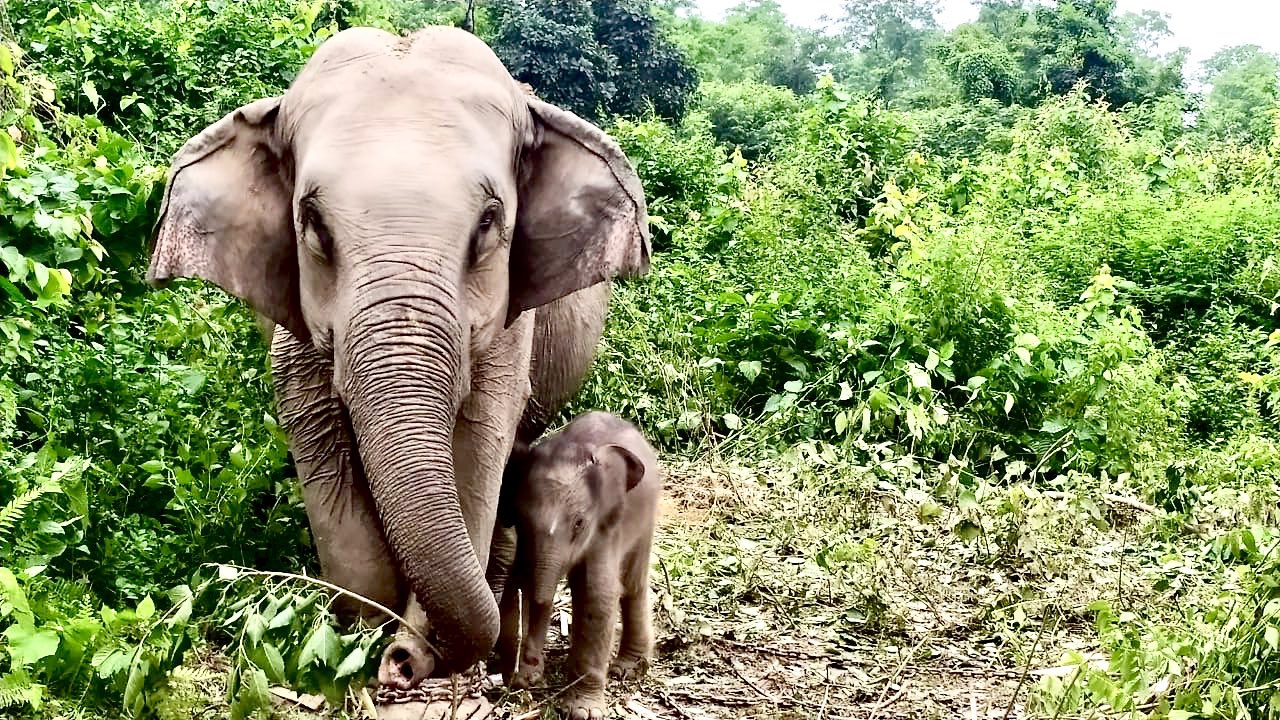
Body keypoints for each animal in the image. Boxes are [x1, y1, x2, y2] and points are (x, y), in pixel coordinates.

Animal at [144, 24, 650, 701]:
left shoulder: (508, 327)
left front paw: (407, 652)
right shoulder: (297, 335)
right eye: (312, 223)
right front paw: (357, 642)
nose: (401, 663)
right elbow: (323, 454)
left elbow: (476, 452)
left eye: (489, 223)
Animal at [495, 411, 659, 719]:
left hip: (647, 517)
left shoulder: (606, 528)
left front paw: (581, 711)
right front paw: (526, 676)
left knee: (633, 584)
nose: (528, 663)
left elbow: (597, 596)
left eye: (579, 523)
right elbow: (518, 582)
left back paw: (627, 669)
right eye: (520, 518)